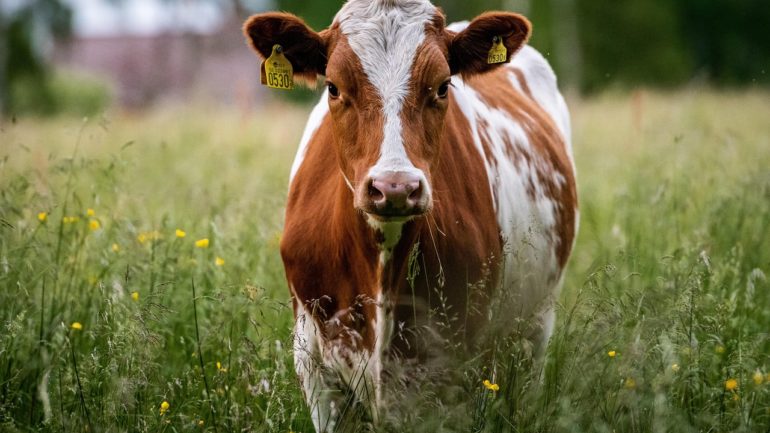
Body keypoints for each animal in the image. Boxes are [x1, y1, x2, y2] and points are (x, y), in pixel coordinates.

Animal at [243, 0, 577, 431]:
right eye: (333, 86)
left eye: (442, 86)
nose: (395, 186)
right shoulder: (314, 364)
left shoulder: (463, 362)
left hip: (535, 323)